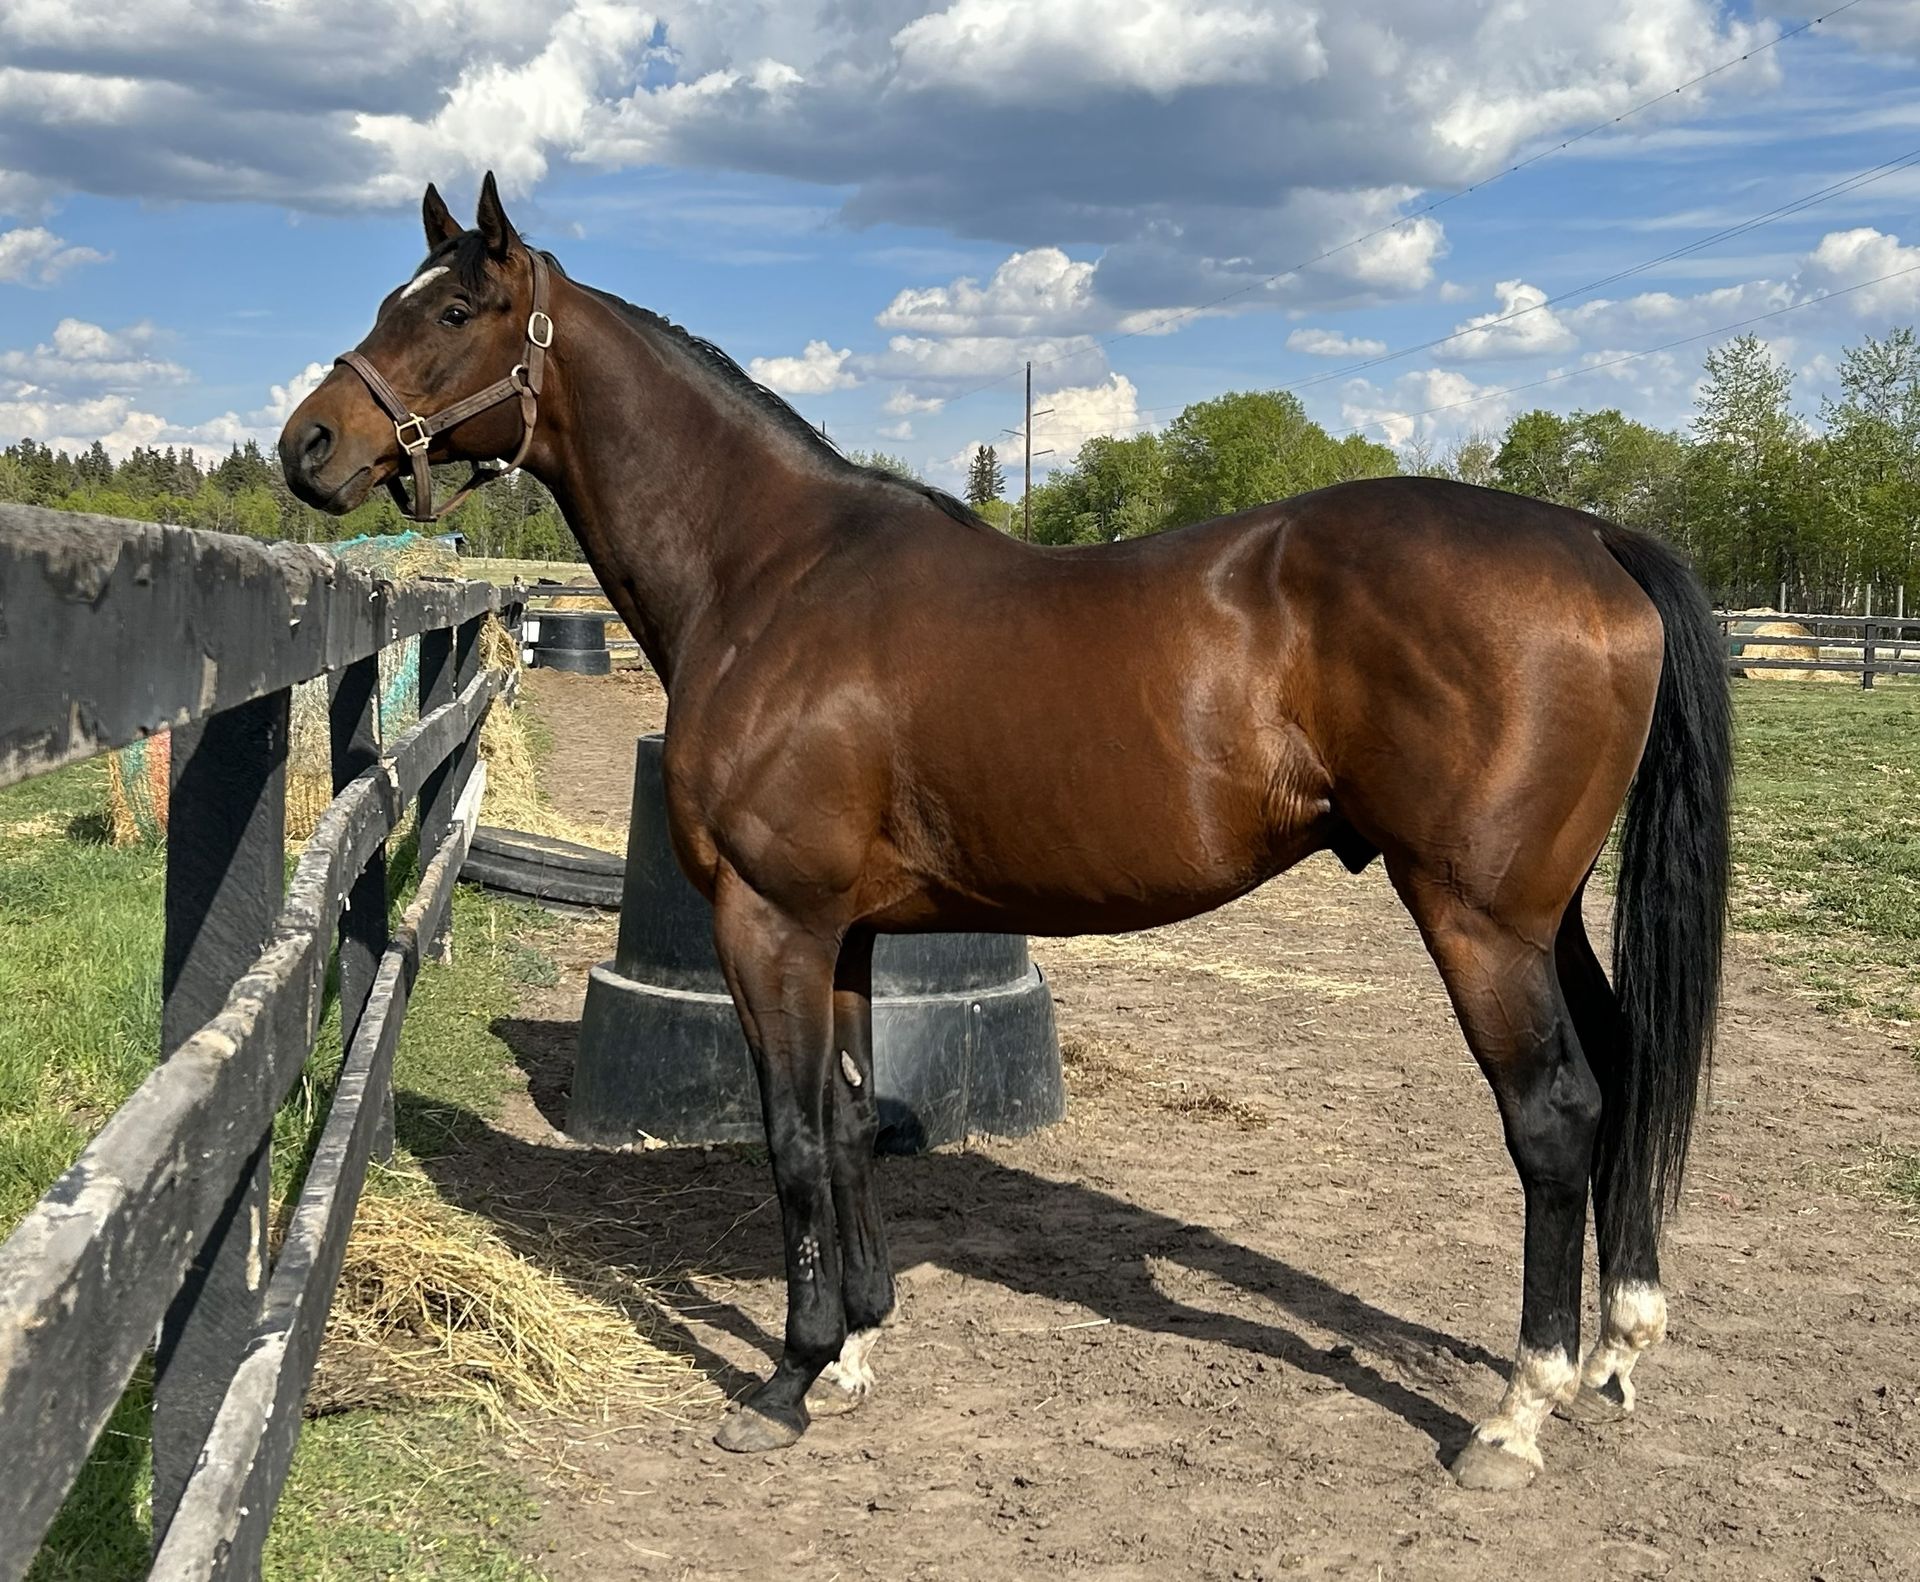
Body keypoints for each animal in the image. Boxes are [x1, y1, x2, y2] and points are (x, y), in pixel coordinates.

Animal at [280, 174, 1731, 1491]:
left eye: (453, 310)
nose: (307, 443)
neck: (772, 576)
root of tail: (1592, 536)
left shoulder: (770, 919)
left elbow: (790, 1134)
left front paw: (787, 1377)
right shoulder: (844, 932)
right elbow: (849, 1121)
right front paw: (856, 1351)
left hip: (1478, 915)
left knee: (1552, 1114)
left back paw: (1517, 1412)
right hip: (1544, 910)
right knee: (1619, 1067)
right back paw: (1617, 1346)